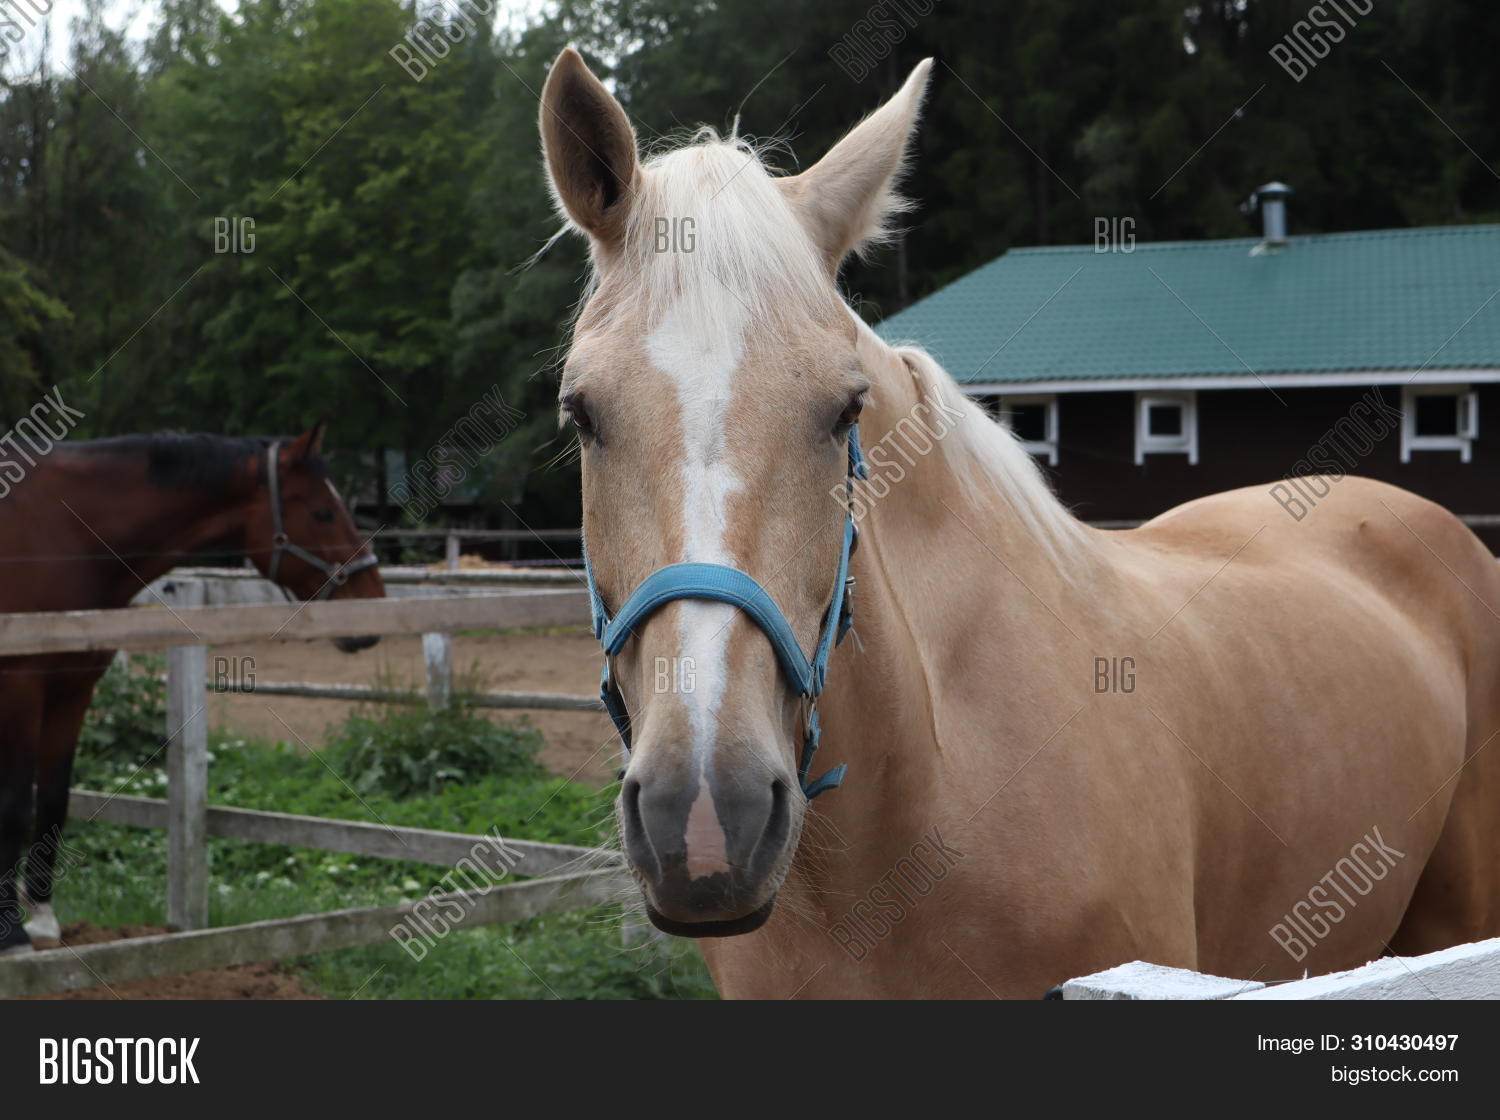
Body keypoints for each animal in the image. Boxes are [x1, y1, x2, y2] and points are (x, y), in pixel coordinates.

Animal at [0, 423, 385, 955]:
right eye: (323, 511)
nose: (372, 604)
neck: (58, 531)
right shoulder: (20, 688)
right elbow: (16, 805)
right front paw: (12, 932)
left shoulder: (71, 691)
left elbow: (54, 799)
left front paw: (42, 920)